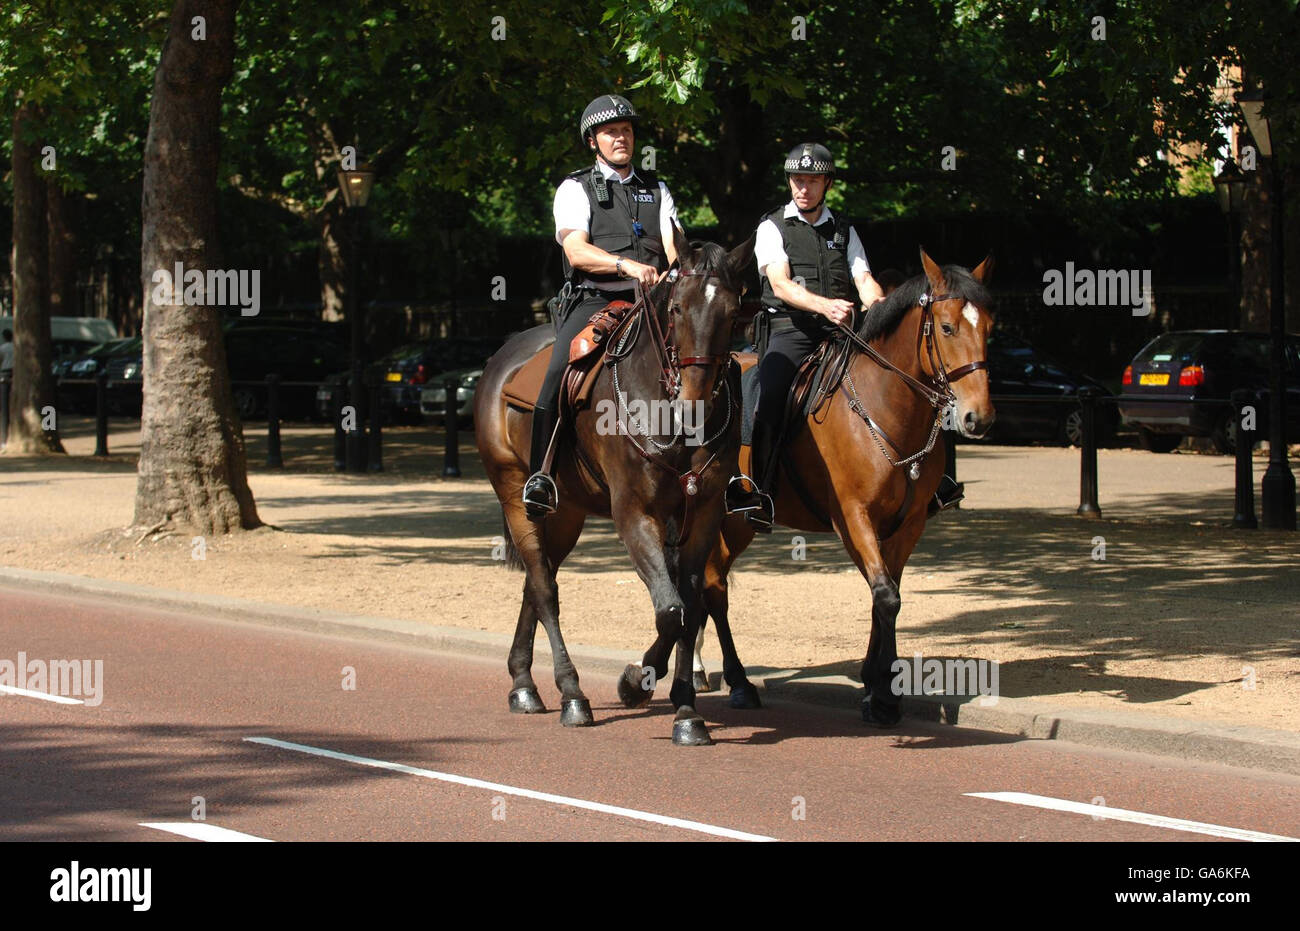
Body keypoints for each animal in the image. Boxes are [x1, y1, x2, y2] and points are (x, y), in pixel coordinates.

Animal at [475, 225, 755, 746]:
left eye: (732, 311)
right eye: (677, 308)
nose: (695, 400)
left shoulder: (702, 515)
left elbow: (687, 607)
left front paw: (686, 711)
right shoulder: (634, 515)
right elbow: (671, 610)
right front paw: (634, 684)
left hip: (567, 512)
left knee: (535, 582)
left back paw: (524, 683)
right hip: (514, 492)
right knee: (544, 587)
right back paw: (571, 694)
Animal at [645, 249, 996, 725]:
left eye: (990, 328)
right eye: (946, 327)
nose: (979, 416)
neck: (885, 408)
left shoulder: (908, 525)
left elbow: (886, 595)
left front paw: (875, 682)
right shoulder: (853, 517)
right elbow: (885, 595)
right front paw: (883, 697)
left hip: (736, 522)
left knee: (711, 586)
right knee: (711, 588)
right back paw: (730, 679)